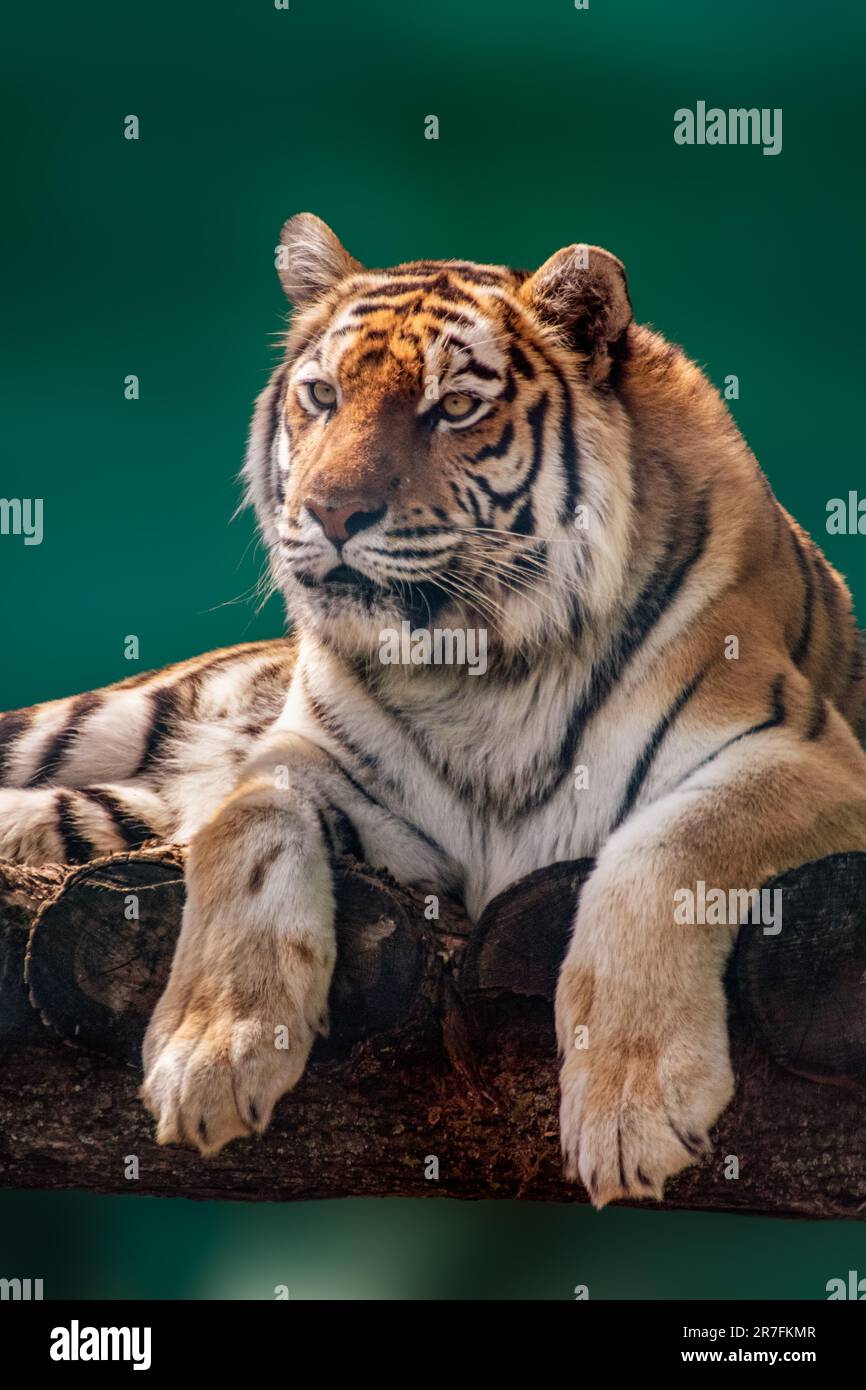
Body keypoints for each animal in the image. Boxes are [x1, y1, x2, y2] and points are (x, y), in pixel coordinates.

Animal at [2, 212, 866, 1208]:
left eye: (452, 408)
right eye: (324, 395)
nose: (330, 513)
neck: (475, 670)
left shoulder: (808, 755)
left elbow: (666, 849)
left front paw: (632, 1105)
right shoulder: (316, 769)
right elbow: (246, 829)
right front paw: (210, 1058)